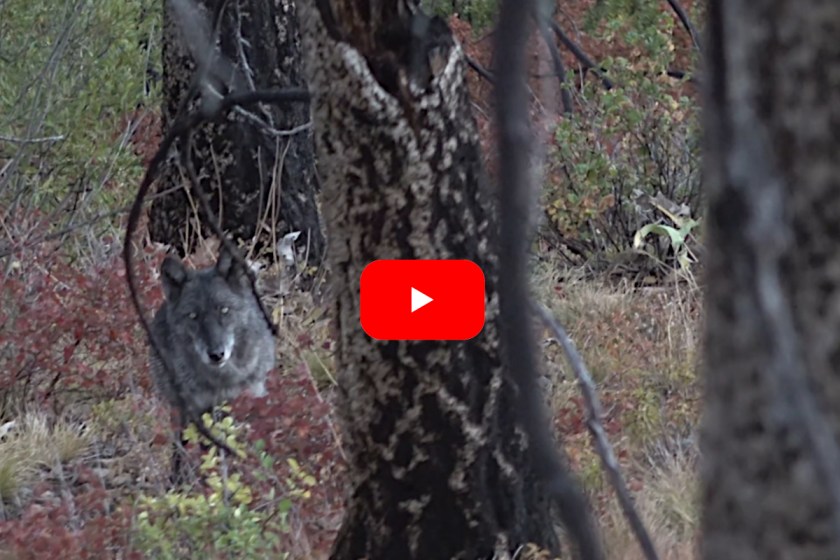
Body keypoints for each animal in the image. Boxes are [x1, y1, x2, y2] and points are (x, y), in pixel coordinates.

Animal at [148, 246, 275, 480]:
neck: (222, 379)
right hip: (180, 410)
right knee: (180, 444)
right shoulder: (198, 410)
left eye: (223, 310)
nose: (216, 354)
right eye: (193, 316)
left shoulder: (252, 396)